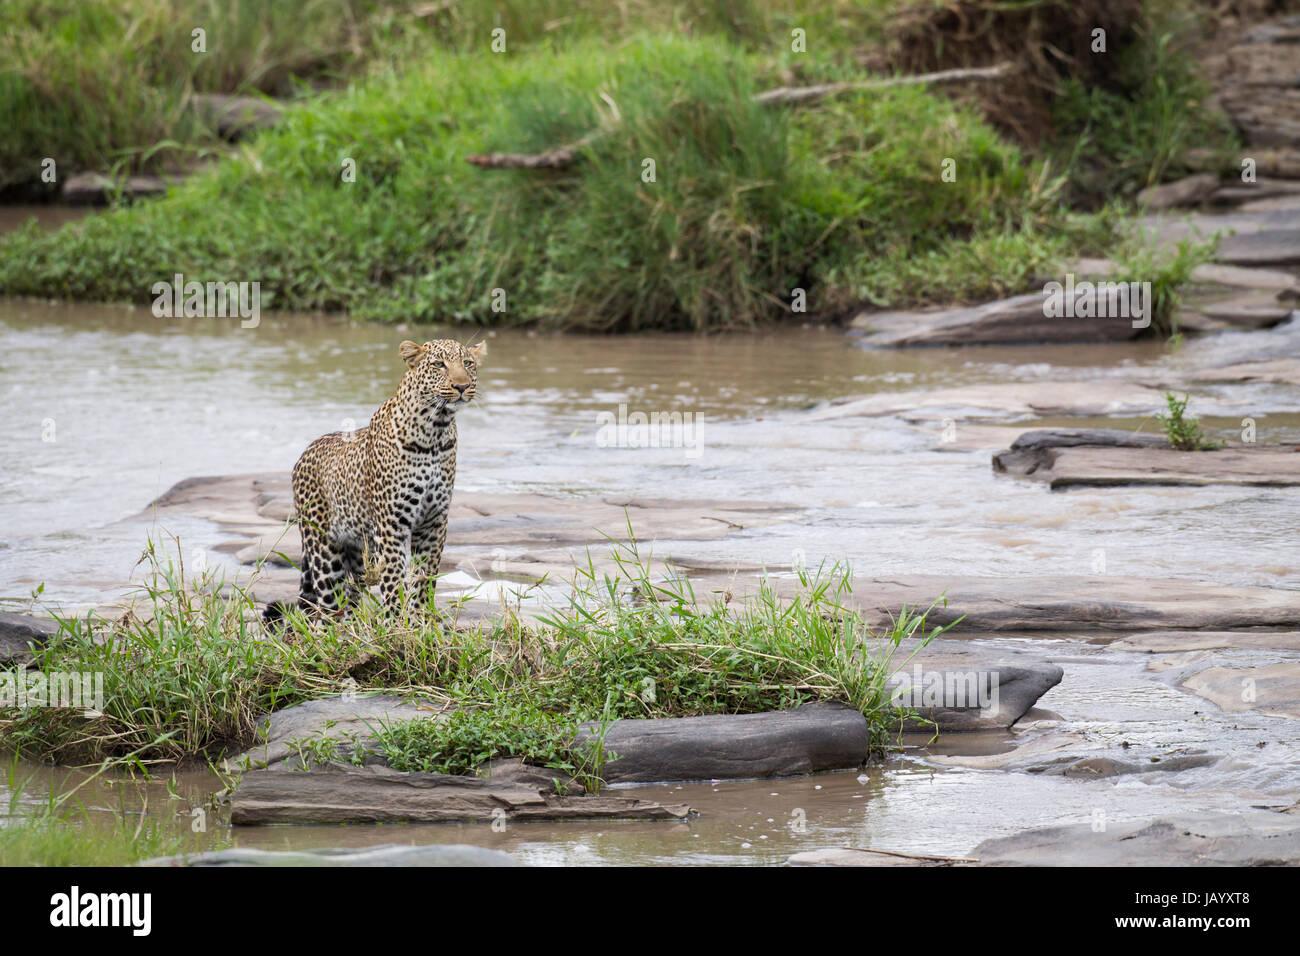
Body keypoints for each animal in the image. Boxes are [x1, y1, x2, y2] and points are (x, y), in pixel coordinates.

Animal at [263, 338, 484, 625]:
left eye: (468, 363)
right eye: (439, 364)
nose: (462, 386)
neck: (435, 431)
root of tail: (305, 453)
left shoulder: (434, 521)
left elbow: (425, 577)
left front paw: (423, 622)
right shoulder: (391, 524)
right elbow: (394, 579)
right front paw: (396, 625)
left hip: (357, 551)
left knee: (351, 598)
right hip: (323, 549)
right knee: (328, 607)